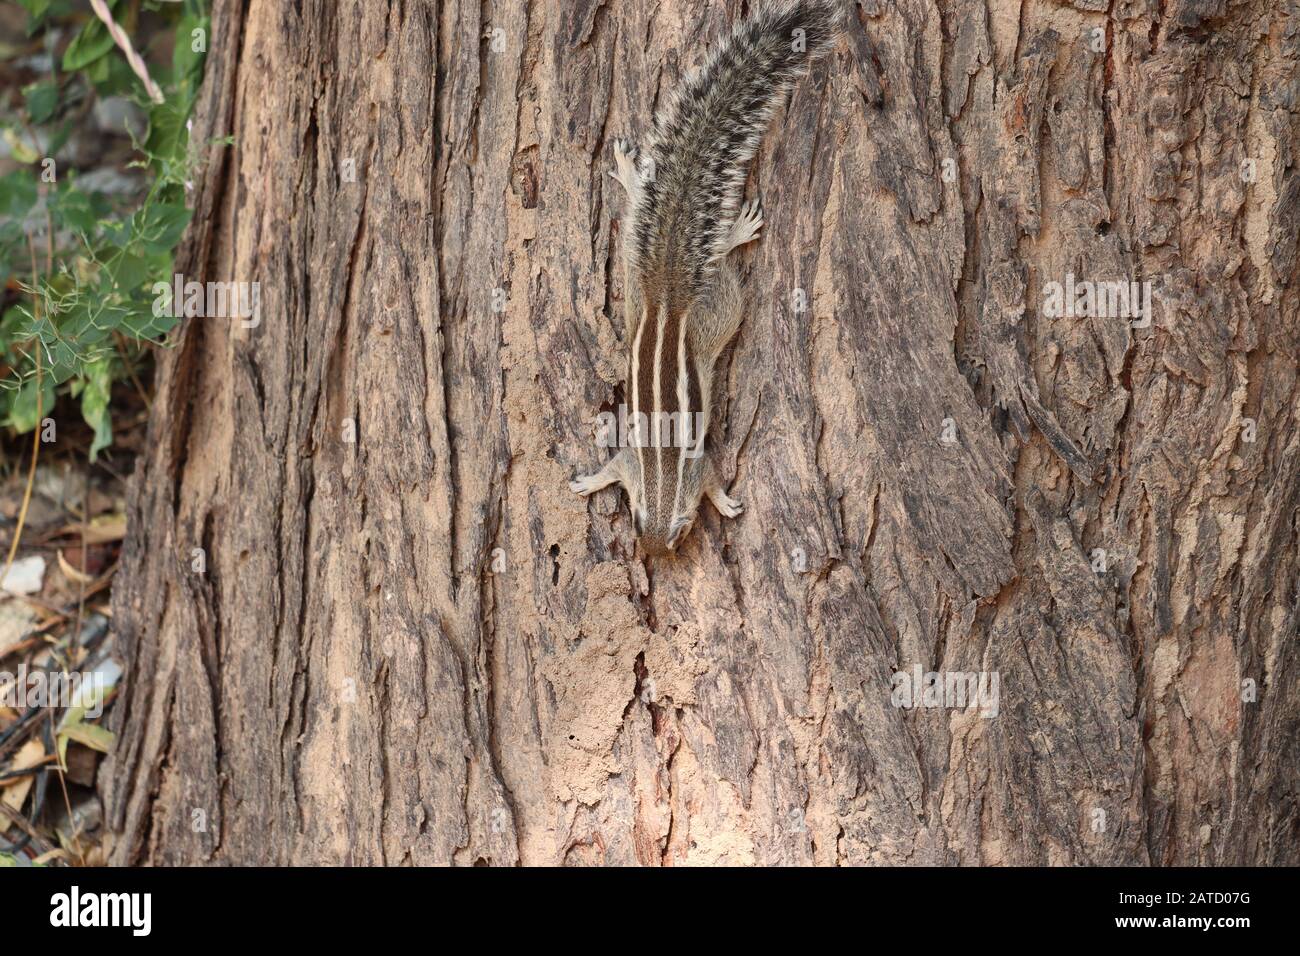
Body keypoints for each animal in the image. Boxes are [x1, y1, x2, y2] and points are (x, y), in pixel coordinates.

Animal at [570, 0, 846, 556]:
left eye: (677, 537)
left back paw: (731, 230)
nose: (655, 557)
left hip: (702, 309)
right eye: (637, 527)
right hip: (648, 291)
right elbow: (614, 466)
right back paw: (638, 180)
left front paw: (723, 503)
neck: (660, 479)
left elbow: (712, 479)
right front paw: (590, 480)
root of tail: (665, 295)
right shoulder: (633, 465)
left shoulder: (694, 470)